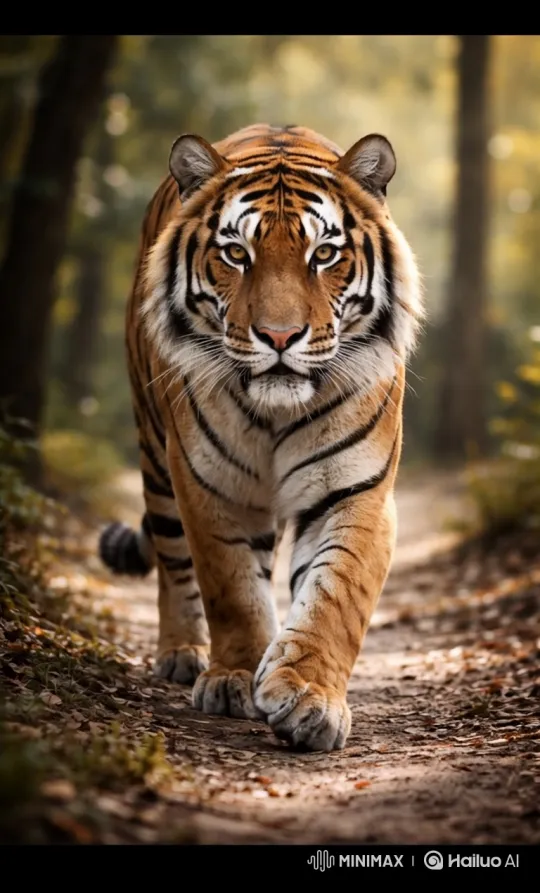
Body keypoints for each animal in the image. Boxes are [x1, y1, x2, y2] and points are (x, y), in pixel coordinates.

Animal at [99, 123, 423, 752]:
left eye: (324, 254)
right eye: (235, 254)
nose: (278, 336)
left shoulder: (356, 491)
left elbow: (334, 595)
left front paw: (308, 695)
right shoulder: (208, 483)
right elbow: (231, 586)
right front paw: (234, 678)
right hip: (156, 458)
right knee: (173, 562)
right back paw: (182, 653)